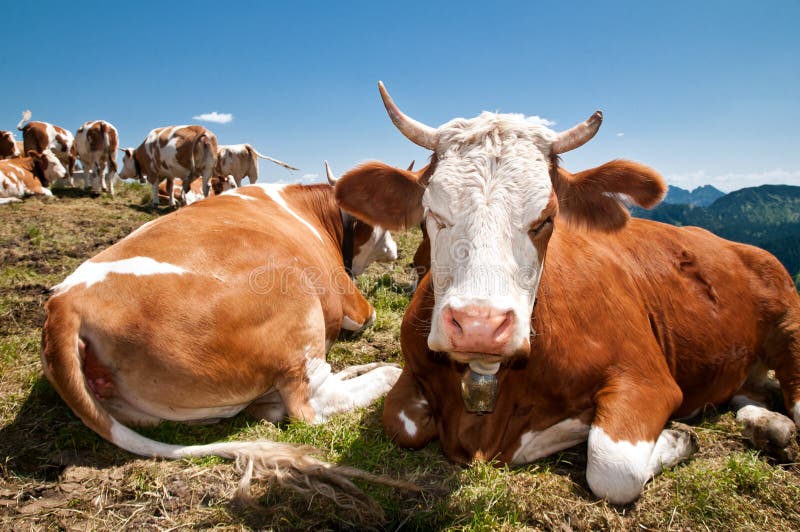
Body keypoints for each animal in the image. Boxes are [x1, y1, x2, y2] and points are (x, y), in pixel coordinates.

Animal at [40, 180, 406, 508]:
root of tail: (65, 303)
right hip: (295, 305)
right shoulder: (353, 302)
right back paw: (385, 374)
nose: (397, 250)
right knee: (310, 406)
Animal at [332, 82, 800, 506]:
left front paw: (671, 435)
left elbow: (611, 467)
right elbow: (400, 421)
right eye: (433, 213)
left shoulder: (647, 378)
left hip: (789, 327)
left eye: (547, 218)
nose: (479, 325)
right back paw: (765, 424)